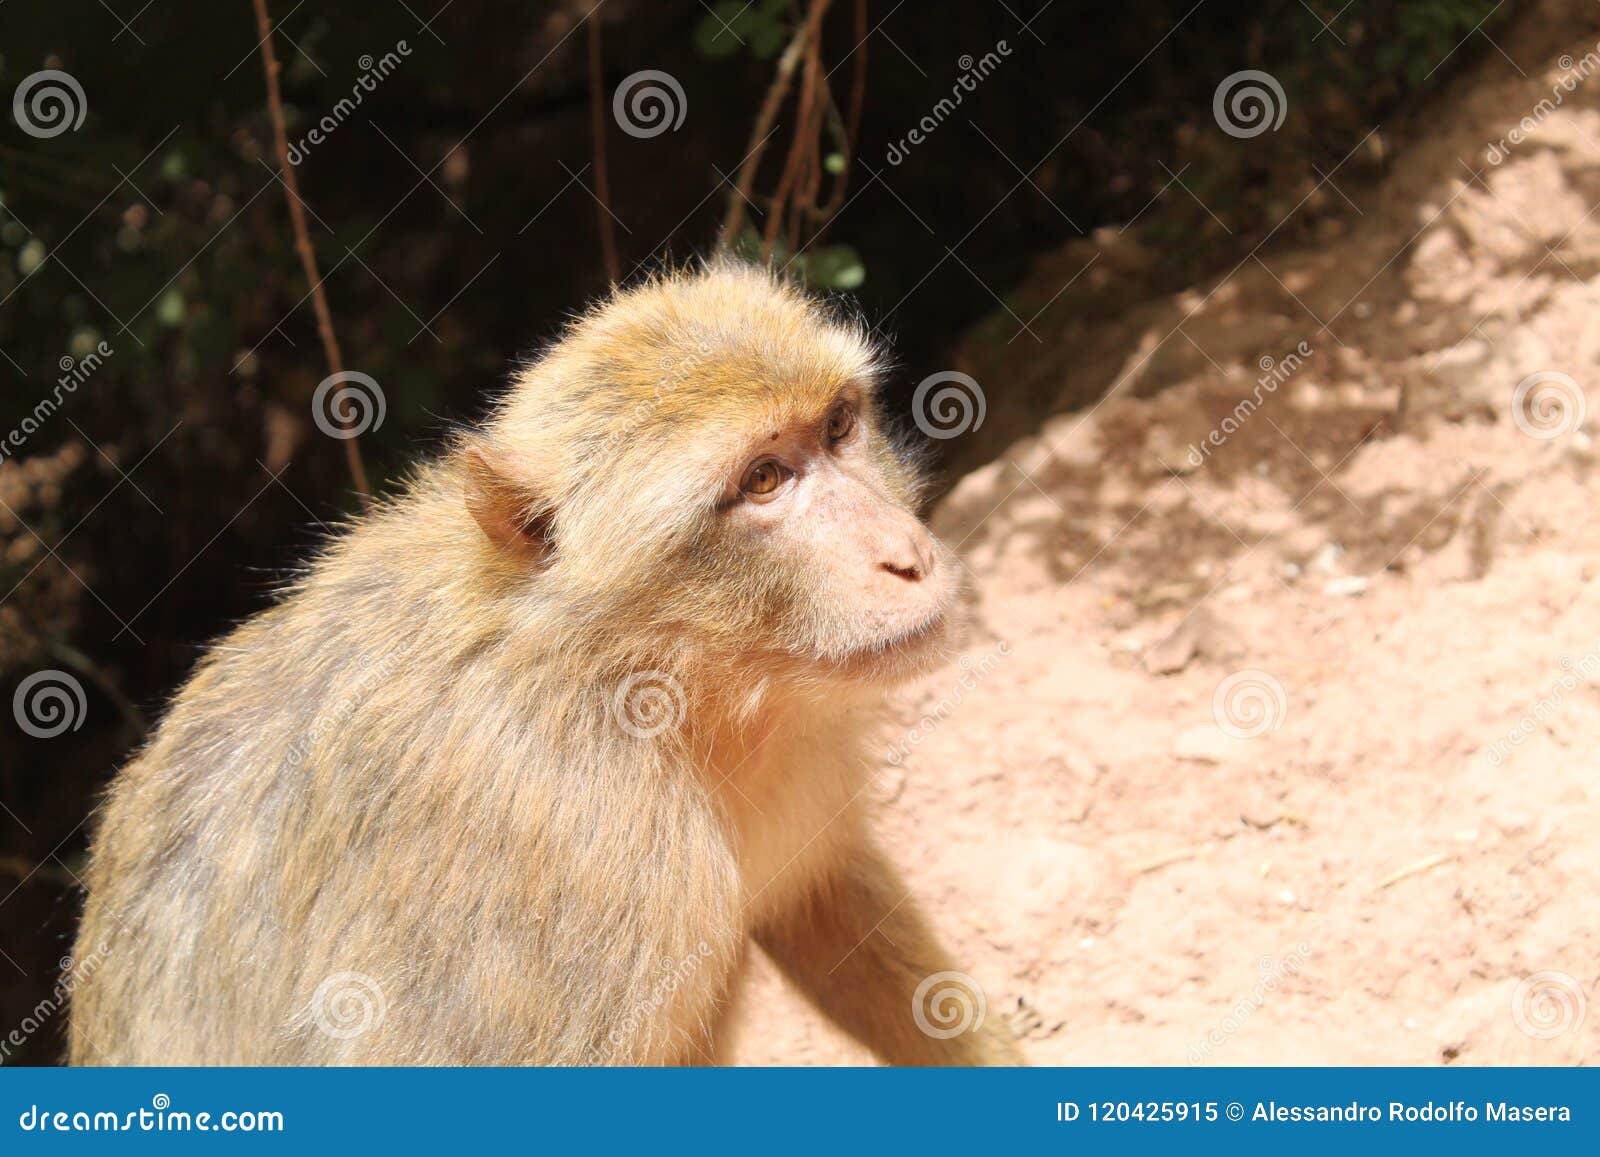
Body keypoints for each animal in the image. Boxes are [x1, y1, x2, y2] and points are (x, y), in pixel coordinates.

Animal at [69, 260, 1024, 1067]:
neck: (649, 684)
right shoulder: (570, 857)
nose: (905, 556)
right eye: (762, 480)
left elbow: (822, 907)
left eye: (837, 426)